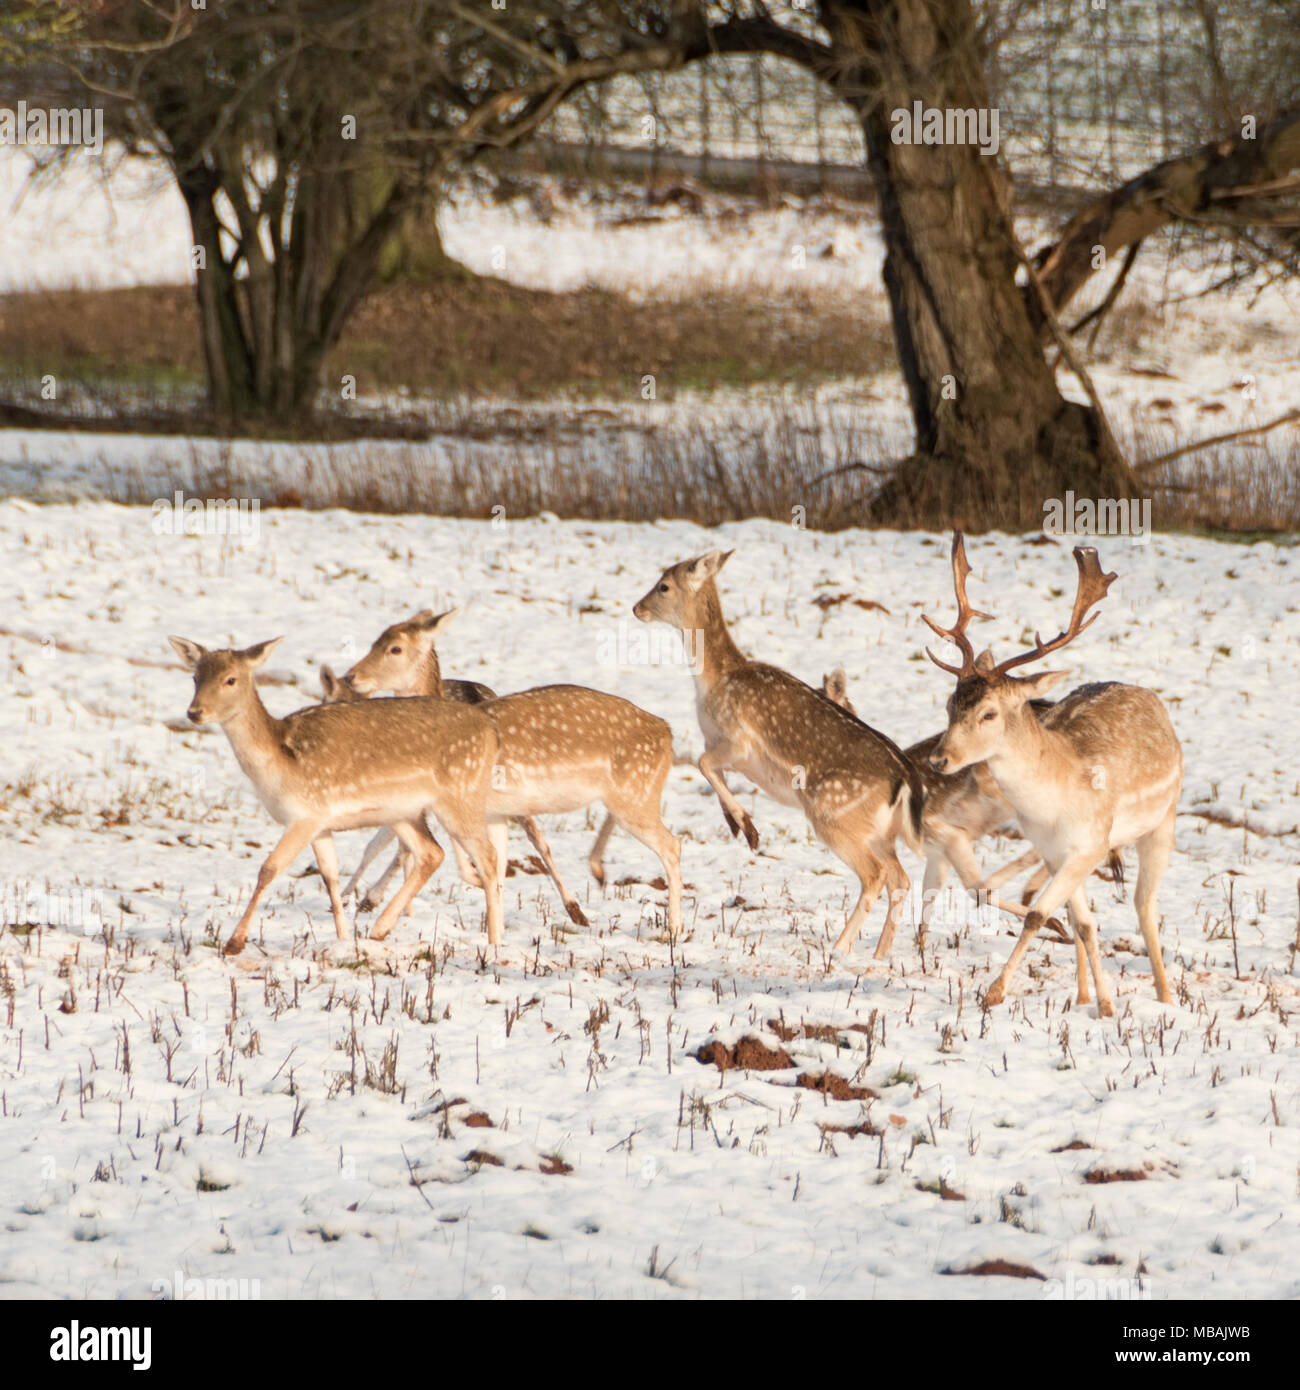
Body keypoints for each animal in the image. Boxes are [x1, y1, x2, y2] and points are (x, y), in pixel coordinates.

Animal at [168, 636, 504, 953]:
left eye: (230, 679)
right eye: (195, 678)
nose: (194, 712)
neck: (278, 762)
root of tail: (490, 730)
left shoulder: (305, 814)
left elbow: (269, 869)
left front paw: (234, 943)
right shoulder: (321, 824)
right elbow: (329, 877)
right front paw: (342, 938)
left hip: (460, 794)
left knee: (488, 858)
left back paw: (493, 942)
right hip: (404, 811)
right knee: (432, 853)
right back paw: (380, 928)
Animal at [340, 610, 682, 938]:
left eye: (395, 648)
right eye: (375, 640)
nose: (350, 677)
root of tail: (667, 732)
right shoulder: (494, 812)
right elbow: (497, 869)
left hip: (636, 794)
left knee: (672, 844)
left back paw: (673, 928)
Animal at [634, 549, 924, 958]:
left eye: (664, 586)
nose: (637, 608)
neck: (712, 682)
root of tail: (905, 780)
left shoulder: (738, 740)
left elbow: (703, 764)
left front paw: (749, 829)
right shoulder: (717, 744)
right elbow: (710, 769)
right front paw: (738, 824)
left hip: (834, 815)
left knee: (875, 875)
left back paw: (839, 948)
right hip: (881, 833)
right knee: (901, 878)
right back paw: (879, 956)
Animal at [922, 534, 1182, 1016]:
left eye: (988, 713)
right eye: (949, 704)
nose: (939, 760)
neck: (1056, 803)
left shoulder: (1089, 844)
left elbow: (1039, 914)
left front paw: (993, 993)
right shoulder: (1054, 851)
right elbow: (1083, 923)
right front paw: (1103, 1005)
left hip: (1164, 820)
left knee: (1144, 905)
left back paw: (1166, 996)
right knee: (1094, 917)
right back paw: (1085, 995)